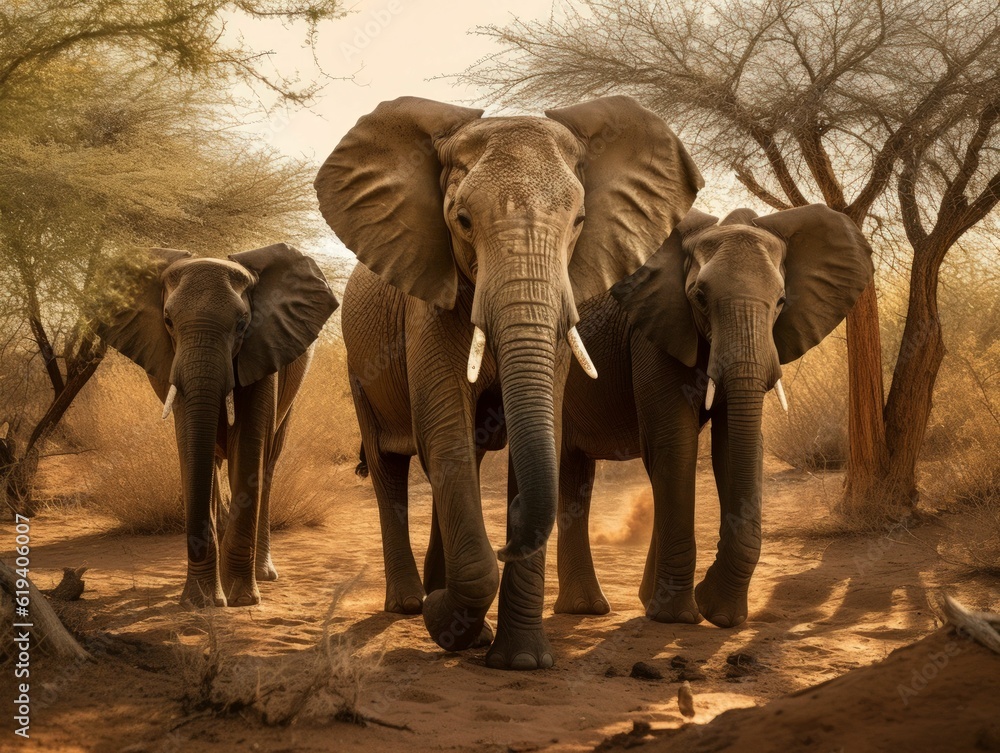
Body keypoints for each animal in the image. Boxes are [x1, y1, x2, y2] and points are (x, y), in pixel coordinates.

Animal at [99, 244, 338, 607]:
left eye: (242, 324)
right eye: (168, 321)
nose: (203, 600)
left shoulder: (263, 348)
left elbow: (249, 444)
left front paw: (241, 599)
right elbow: (192, 445)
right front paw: (202, 602)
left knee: (268, 462)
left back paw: (262, 575)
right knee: (212, 460)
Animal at [314, 96, 702, 669]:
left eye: (579, 221)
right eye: (462, 220)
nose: (508, 542)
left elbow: (531, 439)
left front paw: (519, 661)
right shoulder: (429, 299)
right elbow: (444, 430)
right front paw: (441, 619)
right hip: (357, 365)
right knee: (391, 467)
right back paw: (410, 603)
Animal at [556, 205, 873, 627]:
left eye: (781, 301)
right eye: (700, 298)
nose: (710, 602)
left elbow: (733, 449)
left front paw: (717, 612)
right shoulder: (654, 331)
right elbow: (675, 445)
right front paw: (677, 617)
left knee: (575, 469)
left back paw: (590, 607)